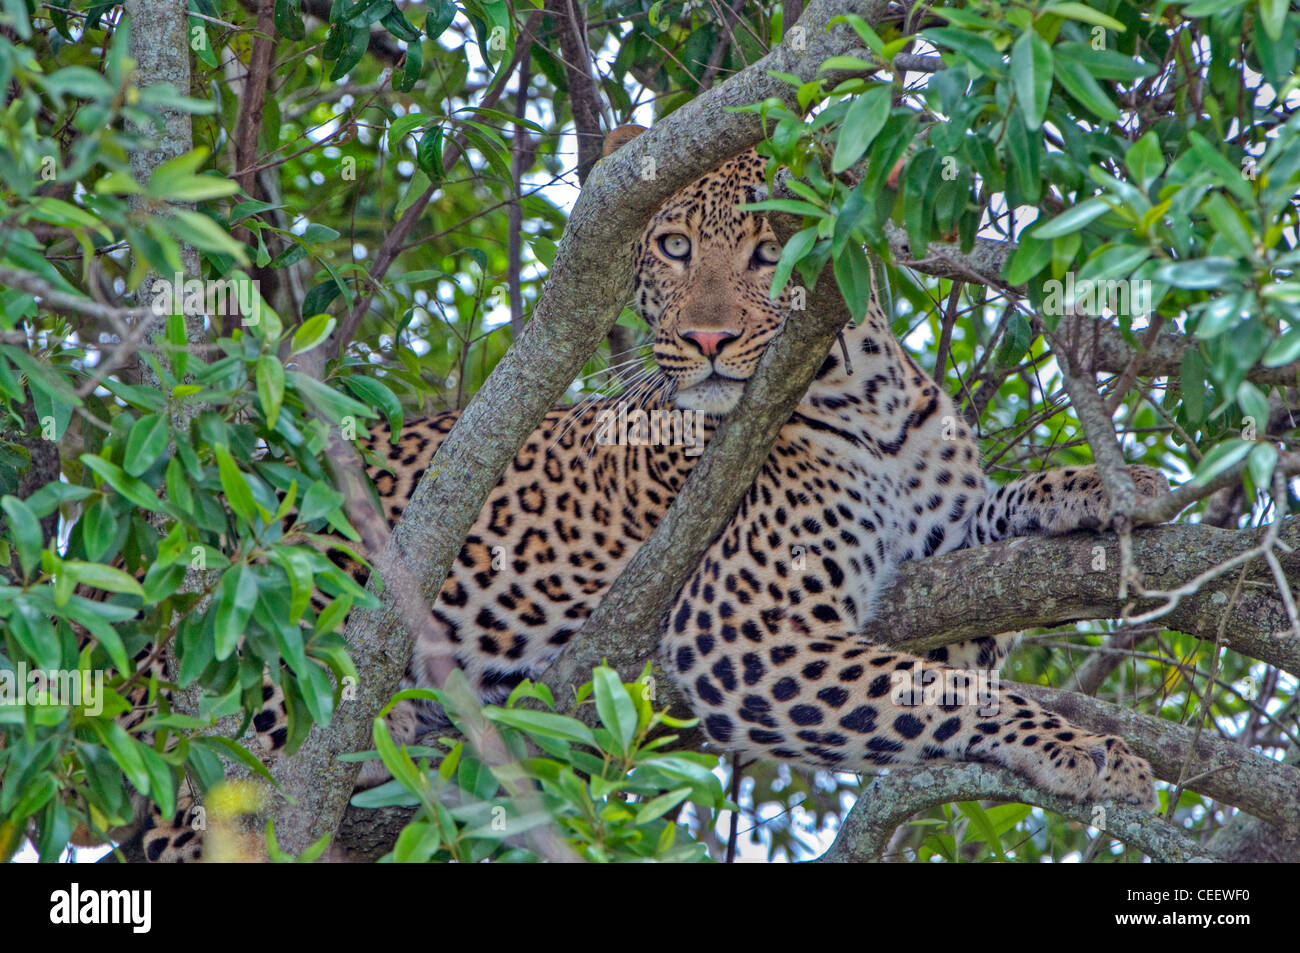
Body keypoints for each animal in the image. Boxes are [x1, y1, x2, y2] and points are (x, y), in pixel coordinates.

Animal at [129, 123, 1168, 861]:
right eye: (670, 245)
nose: (707, 340)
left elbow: (980, 577)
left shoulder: (941, 561)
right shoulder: (741, 634)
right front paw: (1086, 749)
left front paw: (1099, 485)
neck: (865, 397)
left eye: (771, 250)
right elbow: (949, 692)